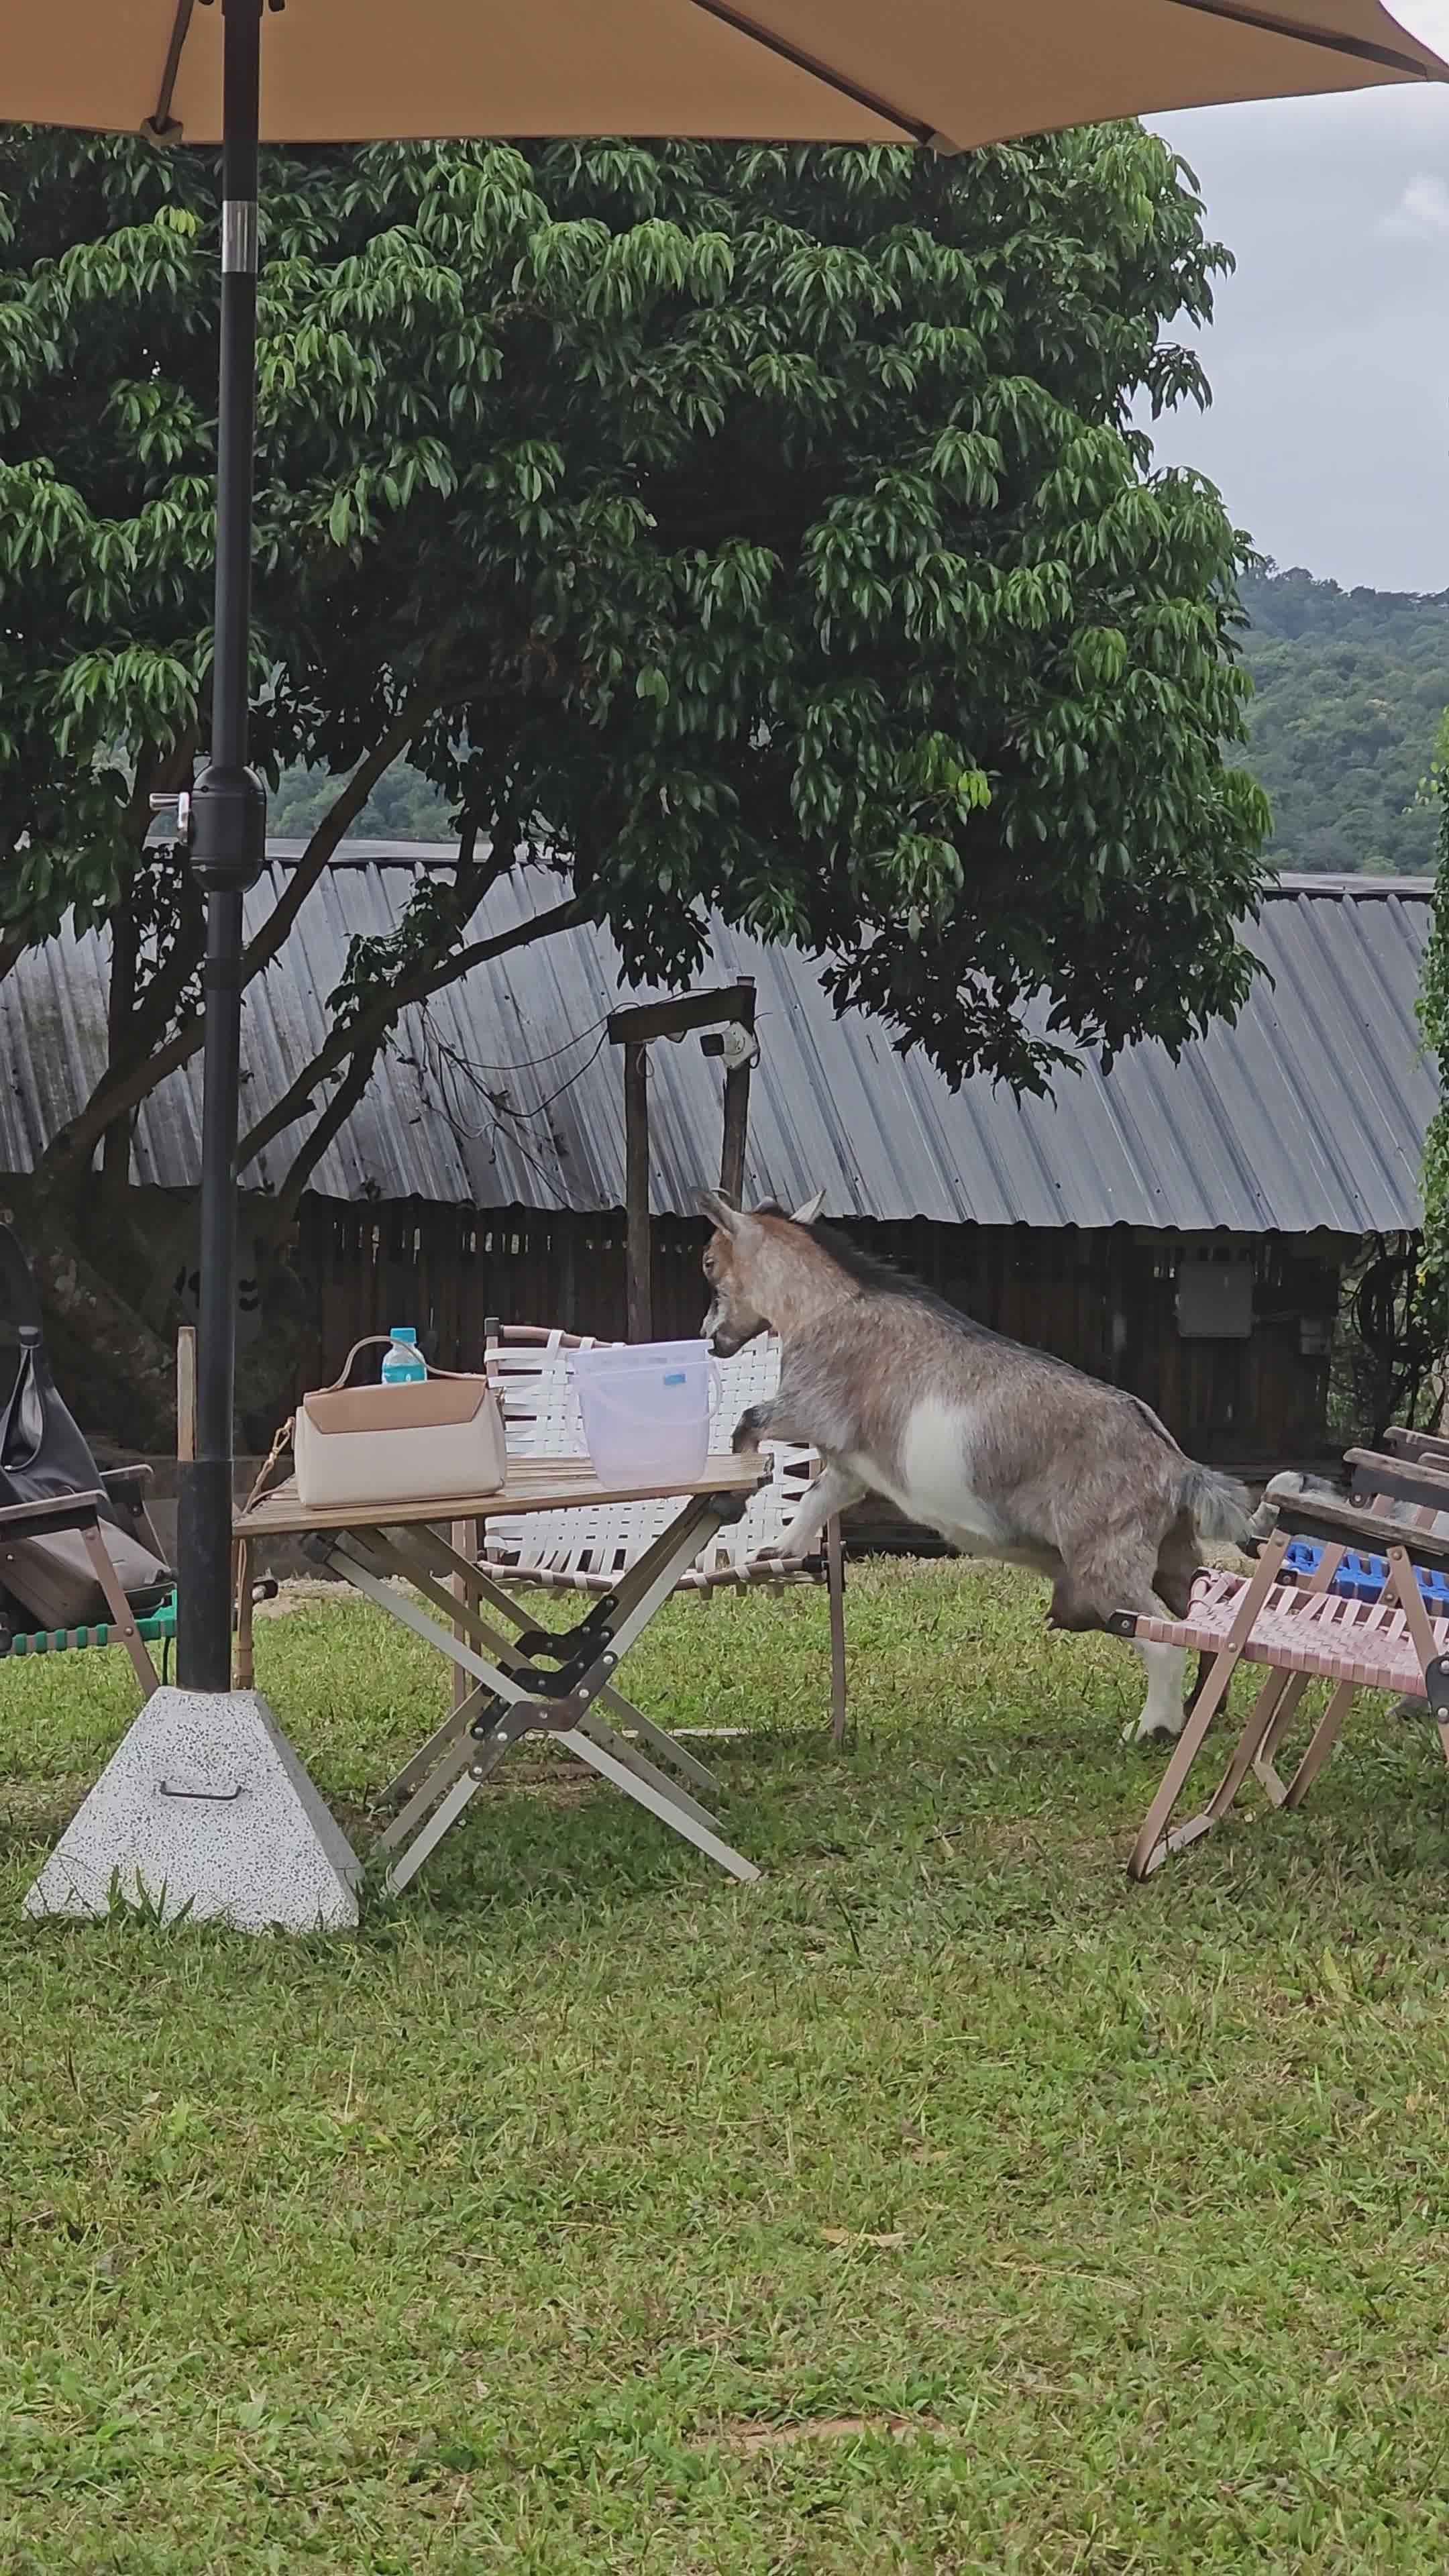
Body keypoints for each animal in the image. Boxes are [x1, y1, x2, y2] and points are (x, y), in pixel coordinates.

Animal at [698, 1191, 1255, 1743]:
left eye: (708, 1261)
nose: (711, 1339)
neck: (827, 1302)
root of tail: (1177, 1467)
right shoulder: (853, 1461)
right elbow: (821, 1497)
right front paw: (778, 1551)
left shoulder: (811, 1406)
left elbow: (749, 1423)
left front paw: (726, 1510)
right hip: (1171, 1555)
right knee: (1203, 1620)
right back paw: (1199, 1711)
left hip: (1105, 1561)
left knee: (1163, 1639)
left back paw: (1153, 1727)